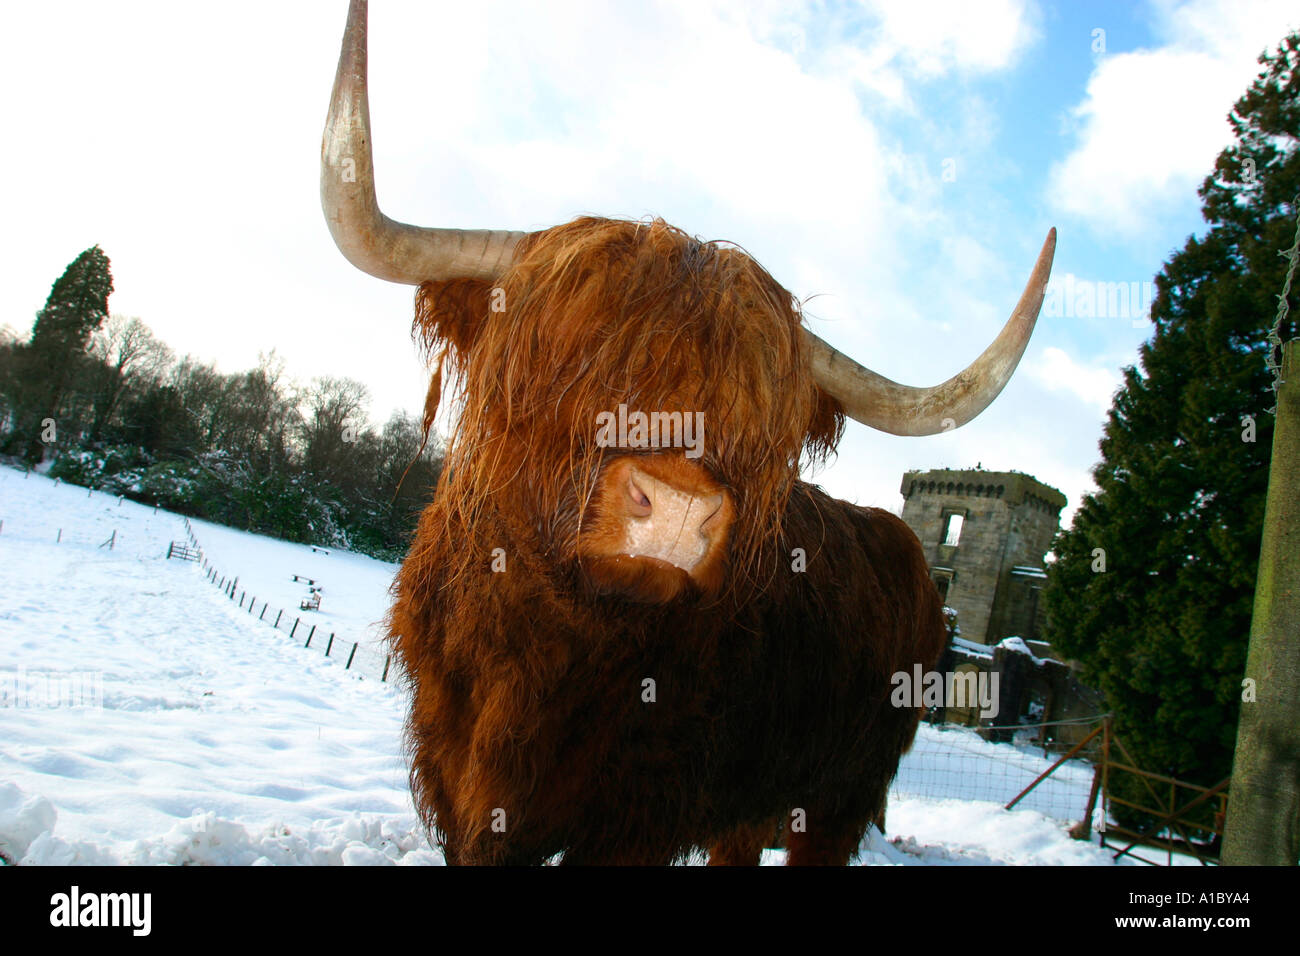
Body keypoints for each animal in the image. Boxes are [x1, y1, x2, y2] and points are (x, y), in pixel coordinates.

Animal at [321, 0, 1055, 865]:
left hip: (842, 796)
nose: (677, 512)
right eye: (569, 356)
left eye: (757, 418)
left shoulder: (637, 819)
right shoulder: (460, 783)